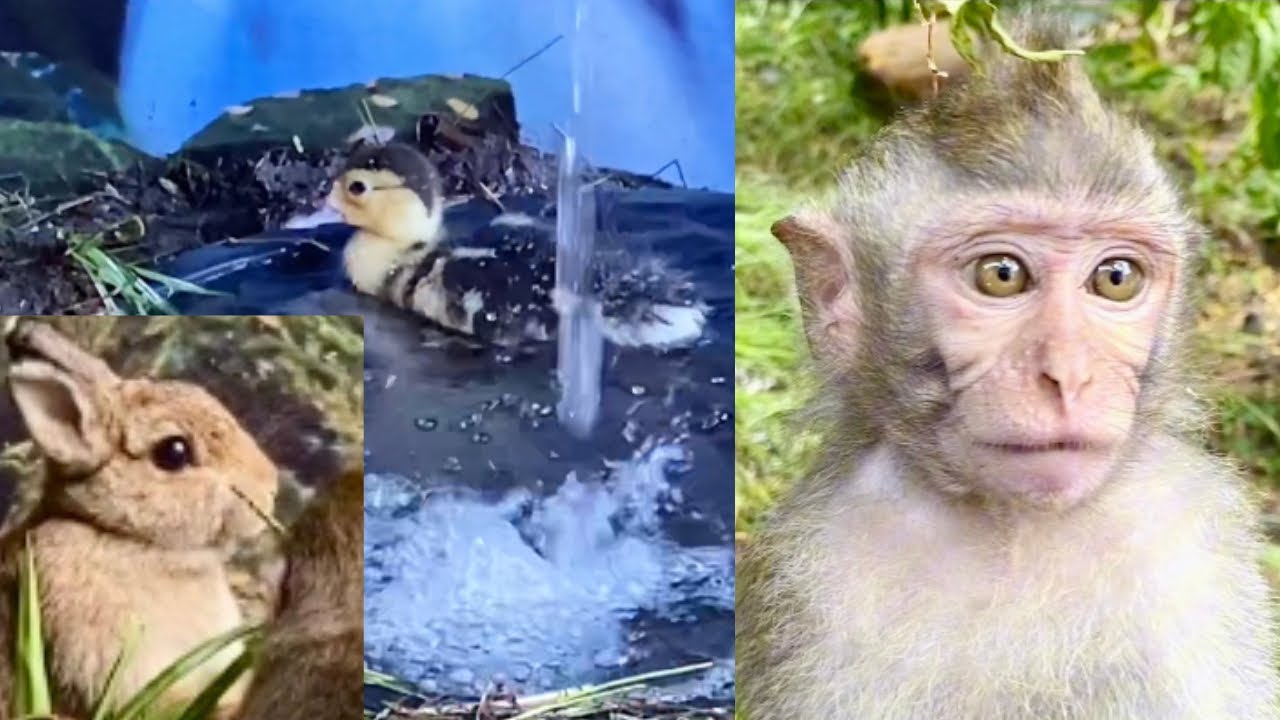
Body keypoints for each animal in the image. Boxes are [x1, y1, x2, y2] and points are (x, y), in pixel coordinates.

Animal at [736, 16, 1280, 720]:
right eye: (1001, 275)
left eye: (1116, 277)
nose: (1069, 375)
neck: (1013, 531)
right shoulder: (815, 574)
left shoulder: (1191, 542)